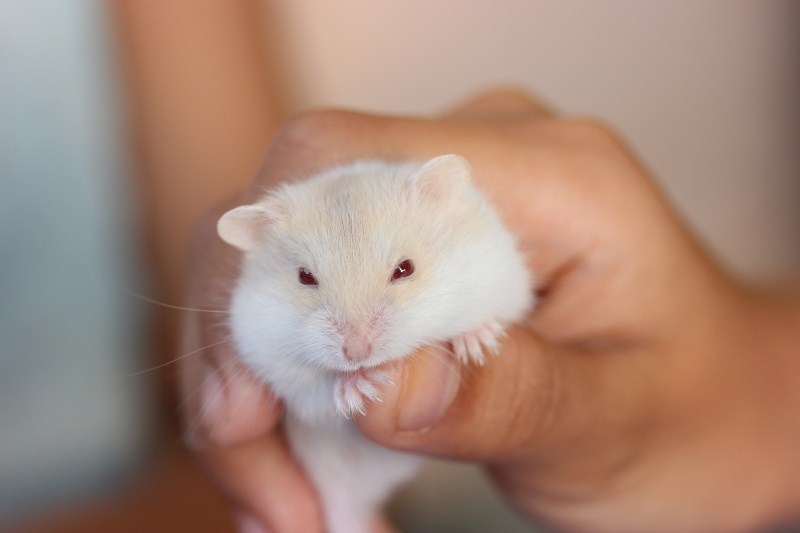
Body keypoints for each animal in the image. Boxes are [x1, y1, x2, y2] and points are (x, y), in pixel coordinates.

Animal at [217, 154, 534, 533]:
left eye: (405, 268)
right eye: (305, 277)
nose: (357, 354)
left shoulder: (503, 279)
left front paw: (478, 342)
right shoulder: (268, 355)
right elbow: (315, 386)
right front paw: (361, 387)